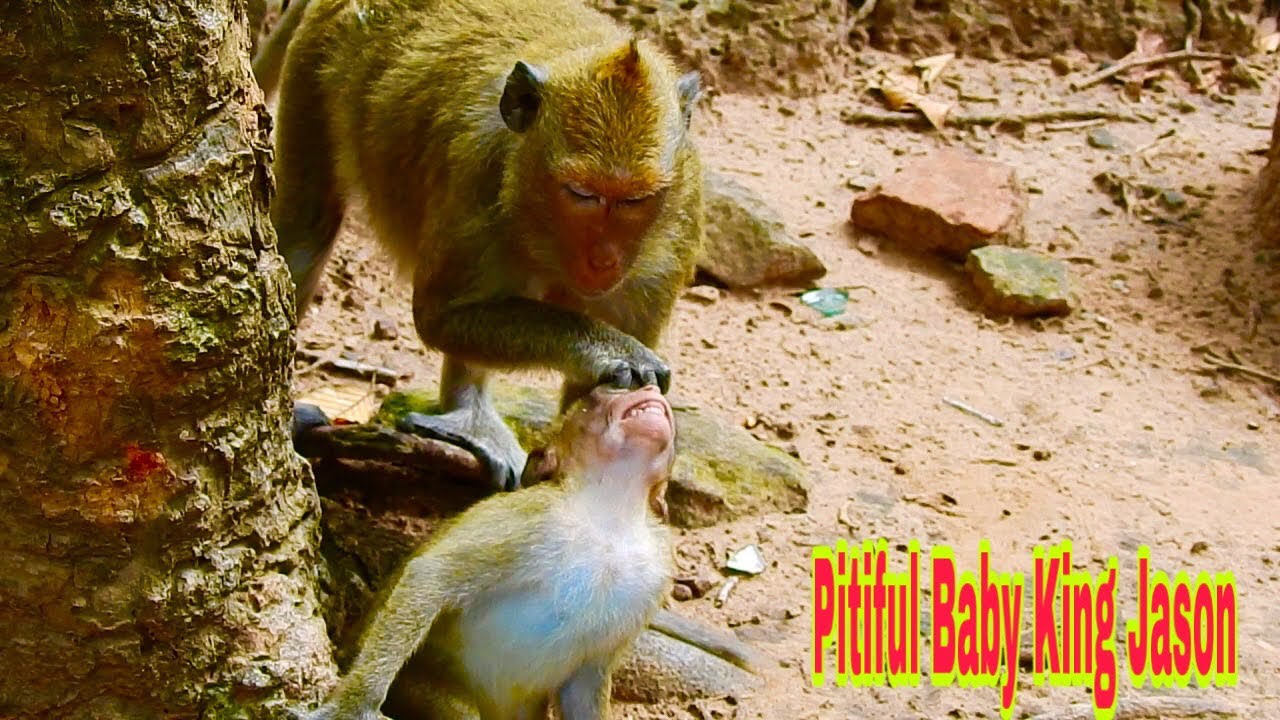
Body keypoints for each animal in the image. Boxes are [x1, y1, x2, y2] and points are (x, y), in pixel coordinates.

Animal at [255, 0, 704, 492]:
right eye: (582, 194)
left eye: (635, 201)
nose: (604, 259)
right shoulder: (478, 175)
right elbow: (440, 317)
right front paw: (606, 348)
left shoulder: (674, 236)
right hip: (313, 65)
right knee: (306, 233)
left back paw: (465, 413)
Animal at [302, 384, 679, 720]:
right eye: (603, 394)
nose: (651, 389)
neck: (611, 517)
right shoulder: (533, 515)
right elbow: (431, 576)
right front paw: (354, 704)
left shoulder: (655, 575)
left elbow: (586, 678)